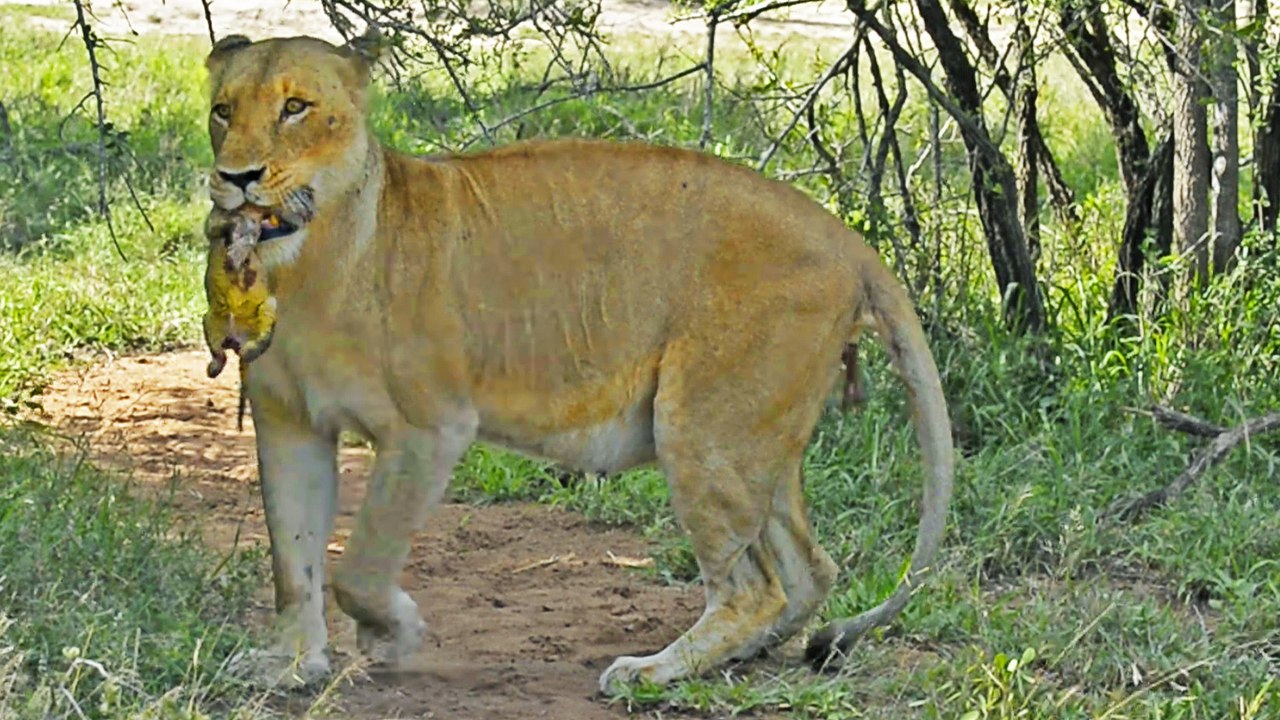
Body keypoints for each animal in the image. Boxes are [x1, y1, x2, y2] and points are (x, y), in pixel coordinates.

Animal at [200, 26, 954, 694]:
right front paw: (292, 667)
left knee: (754, 586)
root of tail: (844, 235)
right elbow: (294, 563)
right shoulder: (289, 424)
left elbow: (359, 564)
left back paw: (654, 672)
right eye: (222, 110)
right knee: (809, 568)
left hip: (704, 428)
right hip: (753, 439)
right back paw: (746, 653)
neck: (309, 265)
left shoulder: (430, 427)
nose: (236, 177)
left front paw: (395, 634)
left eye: (296, 108)